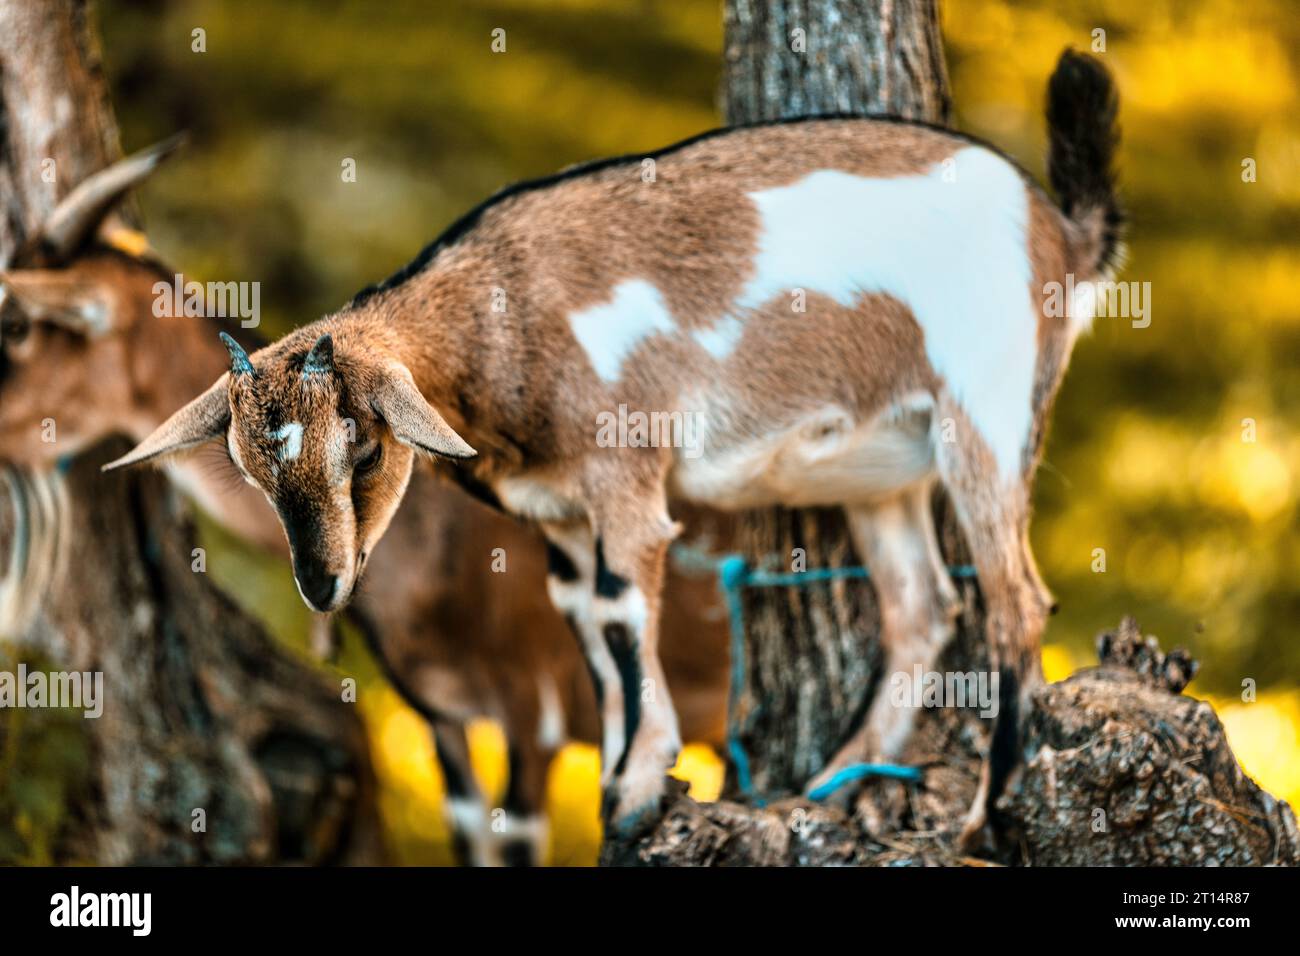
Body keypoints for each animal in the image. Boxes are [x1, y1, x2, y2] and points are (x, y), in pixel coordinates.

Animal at [109, 50, 1123, 847]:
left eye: (363, 448)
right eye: (248, 465)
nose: (321, 584)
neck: (507, 314)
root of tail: (1061, 233)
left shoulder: (626, 475)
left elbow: (627, 608)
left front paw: (638, 790)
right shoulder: (557, 513)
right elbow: (590, 624)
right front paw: (614, 785)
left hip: (985, 412)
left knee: (1014, 600)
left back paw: (981, 820)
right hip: (883, 470)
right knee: (921, 604)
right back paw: (835, 784)